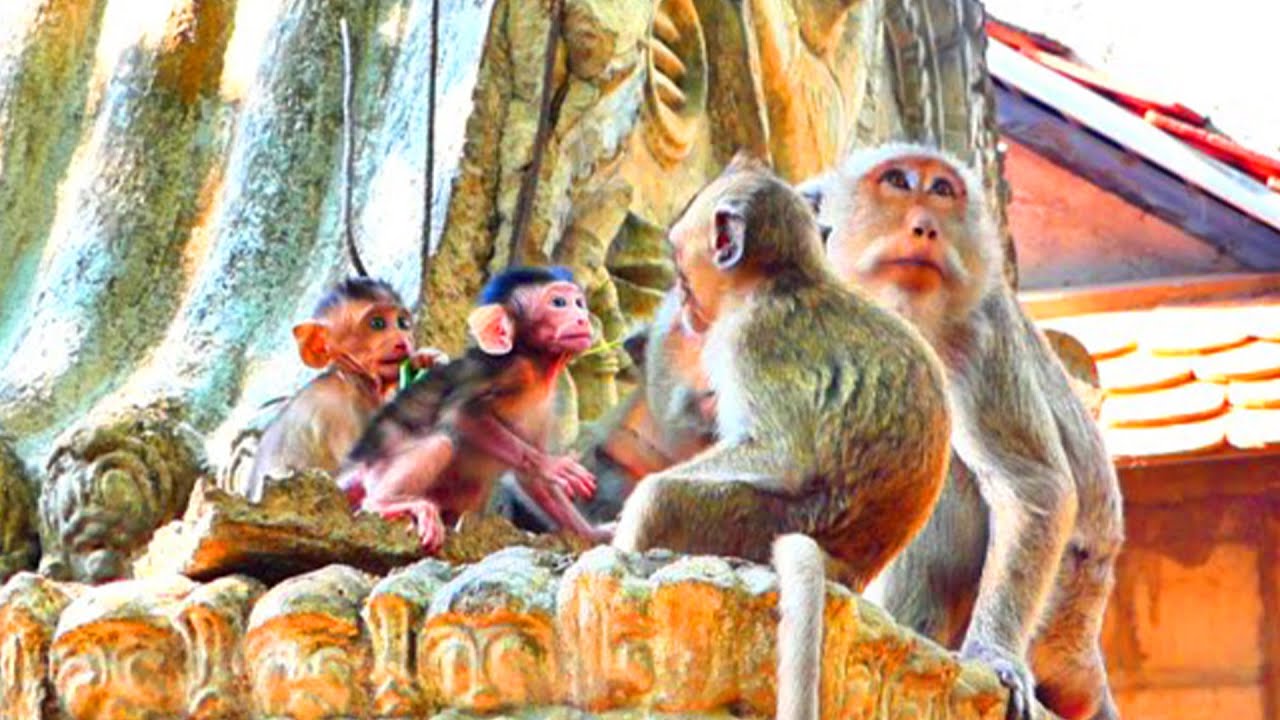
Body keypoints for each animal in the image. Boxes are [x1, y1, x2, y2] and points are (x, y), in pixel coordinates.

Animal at [244, 278, 448, 502]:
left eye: (403, 323)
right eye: (377, 324)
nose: (403, 341)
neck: (354, 380)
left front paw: (428, 360)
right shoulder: (334, 410)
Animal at [336, 266, 613, 552]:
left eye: (579, 303)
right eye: (559, 303)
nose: (582, 318)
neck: (536, 365)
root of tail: (354, 465)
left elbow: (532, 479)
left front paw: (594, 533)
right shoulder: (511, 371)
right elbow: (461, 414)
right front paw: (552, 465)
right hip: (376, 471)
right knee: (442, 442)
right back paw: (384, 503)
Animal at [610, 155, 953, 720]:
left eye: (680, 268)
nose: (686, 307)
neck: (786, 280)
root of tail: (851, 569)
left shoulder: (747, 340)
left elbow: (781, 457)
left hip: (757, 523)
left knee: (665, 497)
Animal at [802, 143, 1125, 720]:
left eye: (941, 189)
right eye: (897, 181)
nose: (925, 227)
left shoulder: (978, 333)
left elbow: (1033, 486)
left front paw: (994, 657)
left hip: (1062, 601)